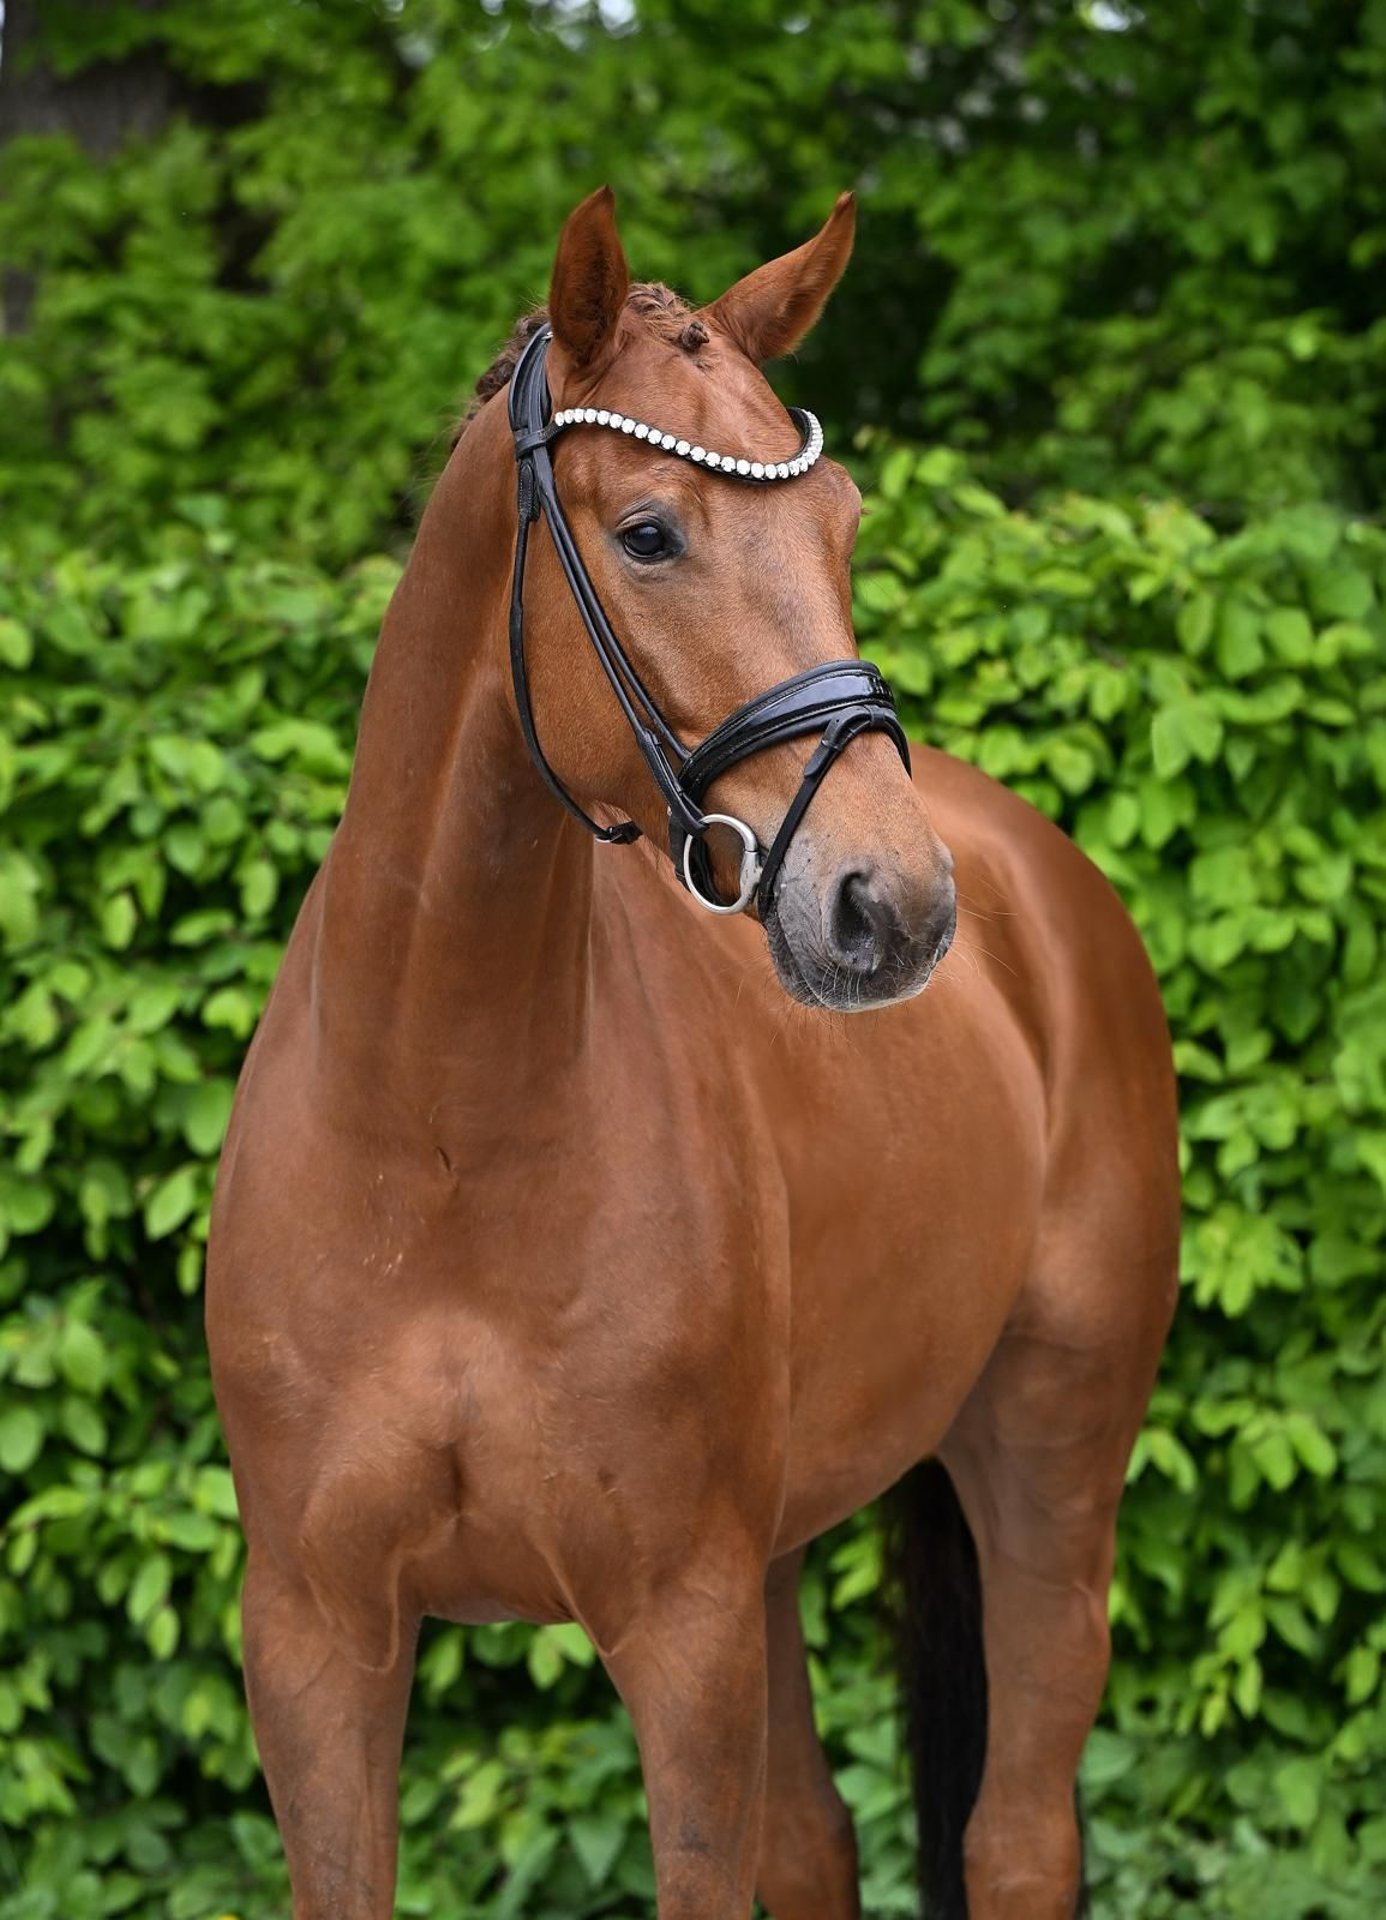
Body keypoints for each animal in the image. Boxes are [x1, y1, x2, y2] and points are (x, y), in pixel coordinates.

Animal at [206, 186, 1179, 1920]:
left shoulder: (683, 1631)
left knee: (1014, 1838)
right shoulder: (314, 1641)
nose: (890, 906)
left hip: (1045, 1467)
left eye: (844, 523)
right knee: (821, 1840)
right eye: (649, 532)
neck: (439, 1134)